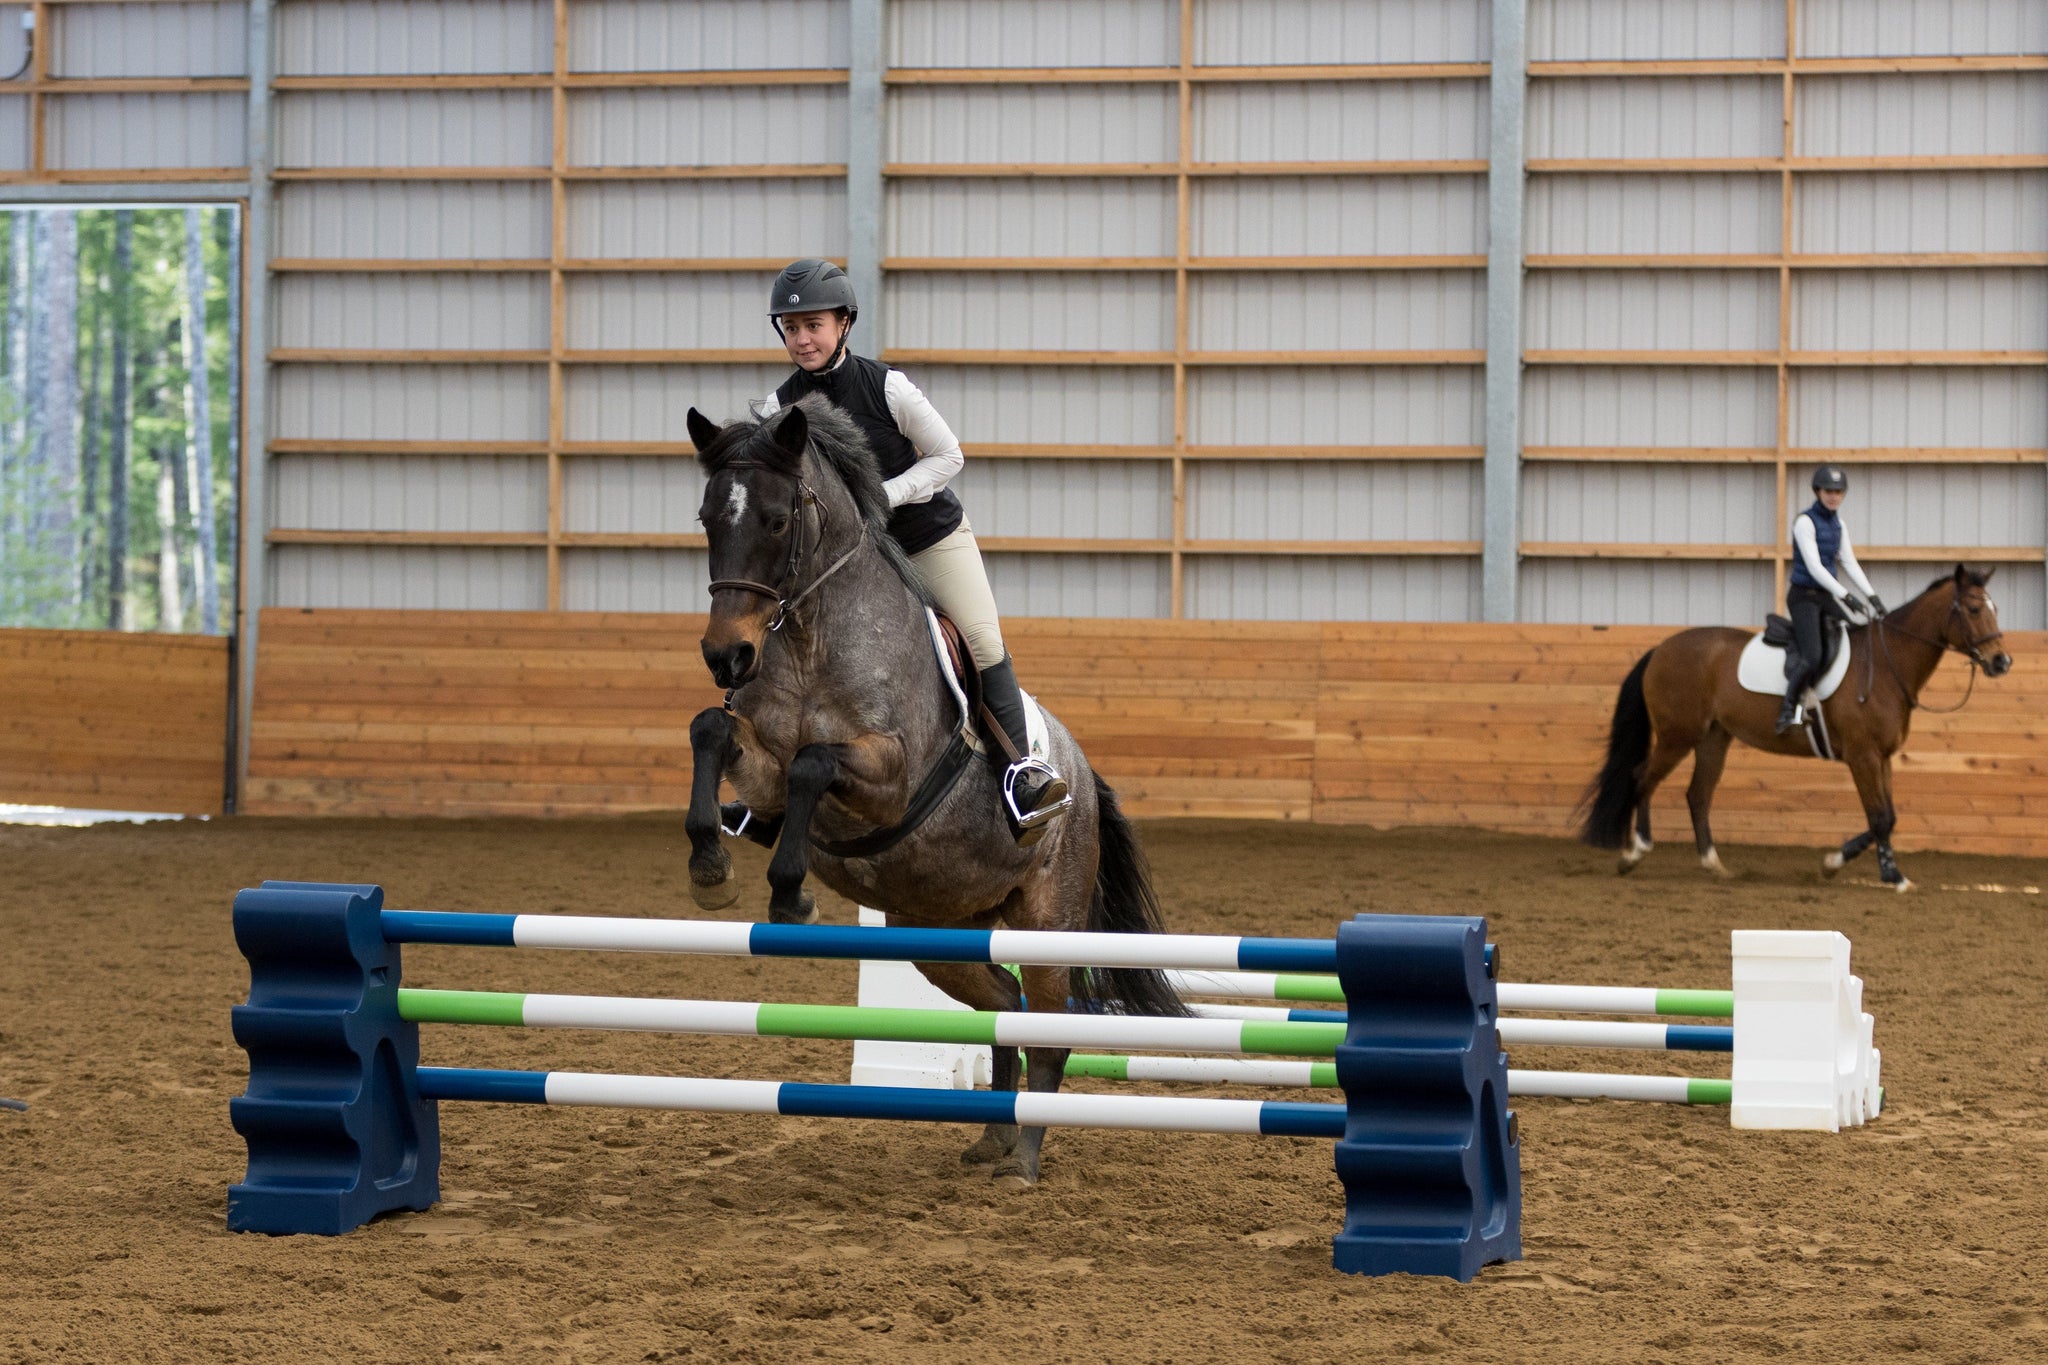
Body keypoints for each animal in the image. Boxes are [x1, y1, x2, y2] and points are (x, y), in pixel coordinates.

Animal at [679, 396, 1187, 1185]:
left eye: (776, 520)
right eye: (707, 518)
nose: (726, 655)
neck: (810, 637)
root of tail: (1080, 772)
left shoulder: (889, 773)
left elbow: (813, 764)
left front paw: (790, 895)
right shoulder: (756, 756)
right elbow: (711, 729)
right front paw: (710, 865)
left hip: (1047, 921)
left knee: (1049, 1028)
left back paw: (1024, 1161)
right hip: (936, 931)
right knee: (1004, 1004)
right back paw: (993, 1139)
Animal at [1579, 565, 2012, 891]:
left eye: (1995, 606)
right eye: (1974, 608)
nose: (2002, 662)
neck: (1887, 665)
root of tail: (1661, 649)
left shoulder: (1882, 756)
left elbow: (1887, 817)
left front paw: (1874, 870)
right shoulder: (1862, 756)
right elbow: (1879, 818)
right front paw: (1855, 869)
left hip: (1714, 737)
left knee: (1697, 794)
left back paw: (1713, 864)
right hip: (1677, 736)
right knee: (1643, 778)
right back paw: (1635, 852)